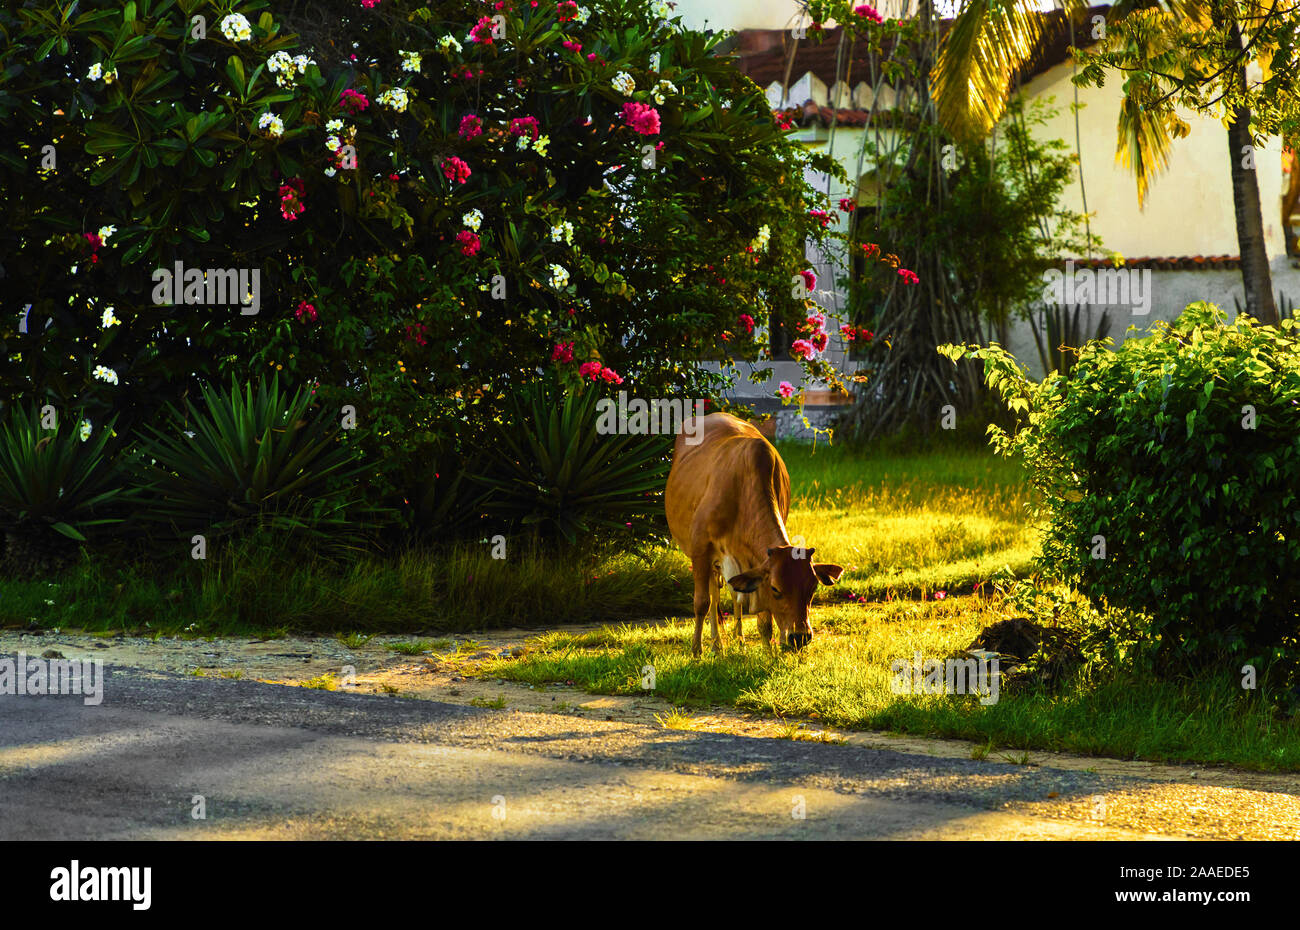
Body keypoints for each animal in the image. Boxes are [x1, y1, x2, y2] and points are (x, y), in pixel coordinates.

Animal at [665, 412, 843, 655]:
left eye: (813, 587)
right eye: (776, 588)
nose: (800, 637)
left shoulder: (756, 562)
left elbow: (764, 618)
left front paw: (769, 653)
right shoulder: (701, 551)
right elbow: (702, 603)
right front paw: (696, 651)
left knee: (734, 597)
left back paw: (737, 639)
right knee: (713, 596)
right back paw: (716, 644)